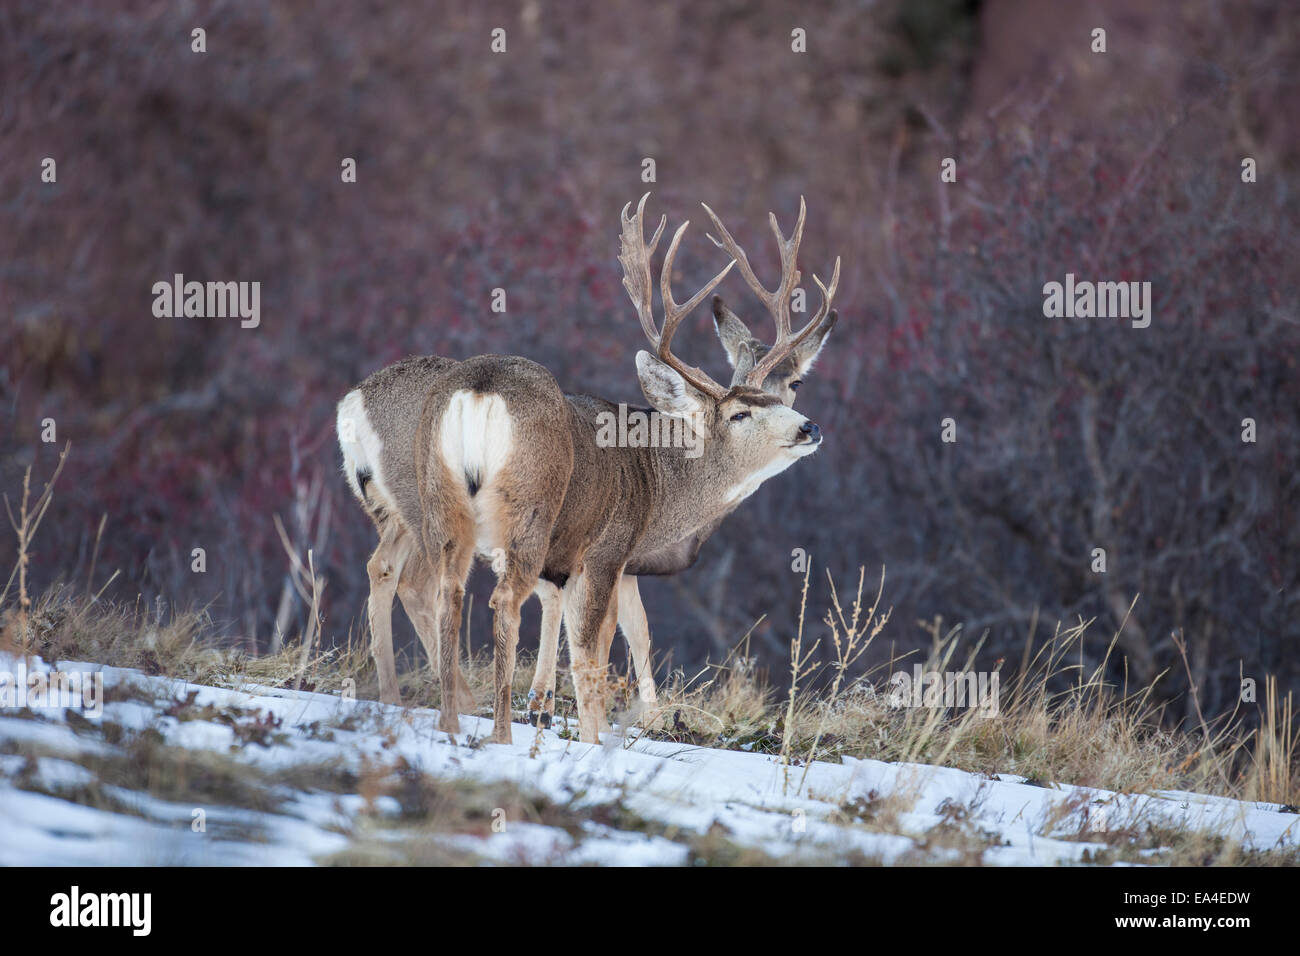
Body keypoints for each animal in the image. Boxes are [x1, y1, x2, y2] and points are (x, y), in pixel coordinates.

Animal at [382, 193, 839, 744]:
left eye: (784, 391)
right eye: (739, 414)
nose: (810, 427)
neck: (653, 478)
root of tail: (479, 388)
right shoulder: (606, 549)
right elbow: (591, 652)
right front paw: (594, 740)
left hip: (440, 497)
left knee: (447, 592)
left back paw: (452, 723)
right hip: (528, 509)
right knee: (504, 601)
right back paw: (502, 734)